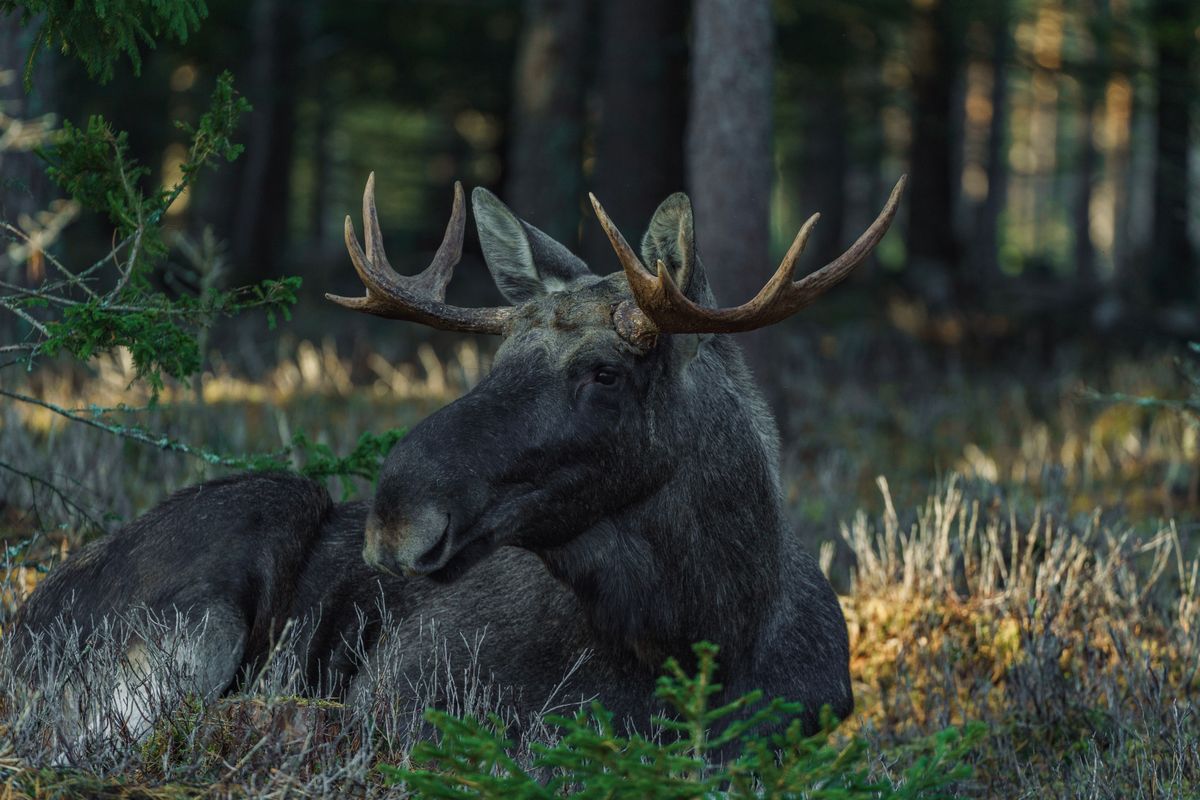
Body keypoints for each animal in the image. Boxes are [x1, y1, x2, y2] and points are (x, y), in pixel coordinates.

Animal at [11, 172, 905, 743]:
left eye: (605, 371)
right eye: (498, 359)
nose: (397, 514)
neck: (710, 632)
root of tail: (19, 623)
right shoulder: (403, 695)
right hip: (212, 589)